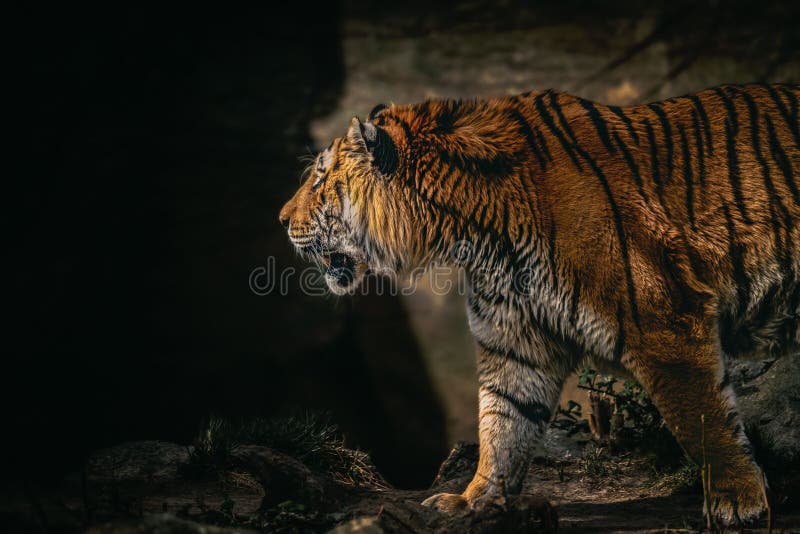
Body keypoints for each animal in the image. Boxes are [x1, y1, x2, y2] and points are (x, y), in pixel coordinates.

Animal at [279, 84, 800, 526]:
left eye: (320, 179)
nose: (282, 219)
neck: (474, 235)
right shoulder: (517, 340)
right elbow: (502, 424)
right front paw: (472, 501)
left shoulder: (664, 322)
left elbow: (702, 420)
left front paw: (738, 503)